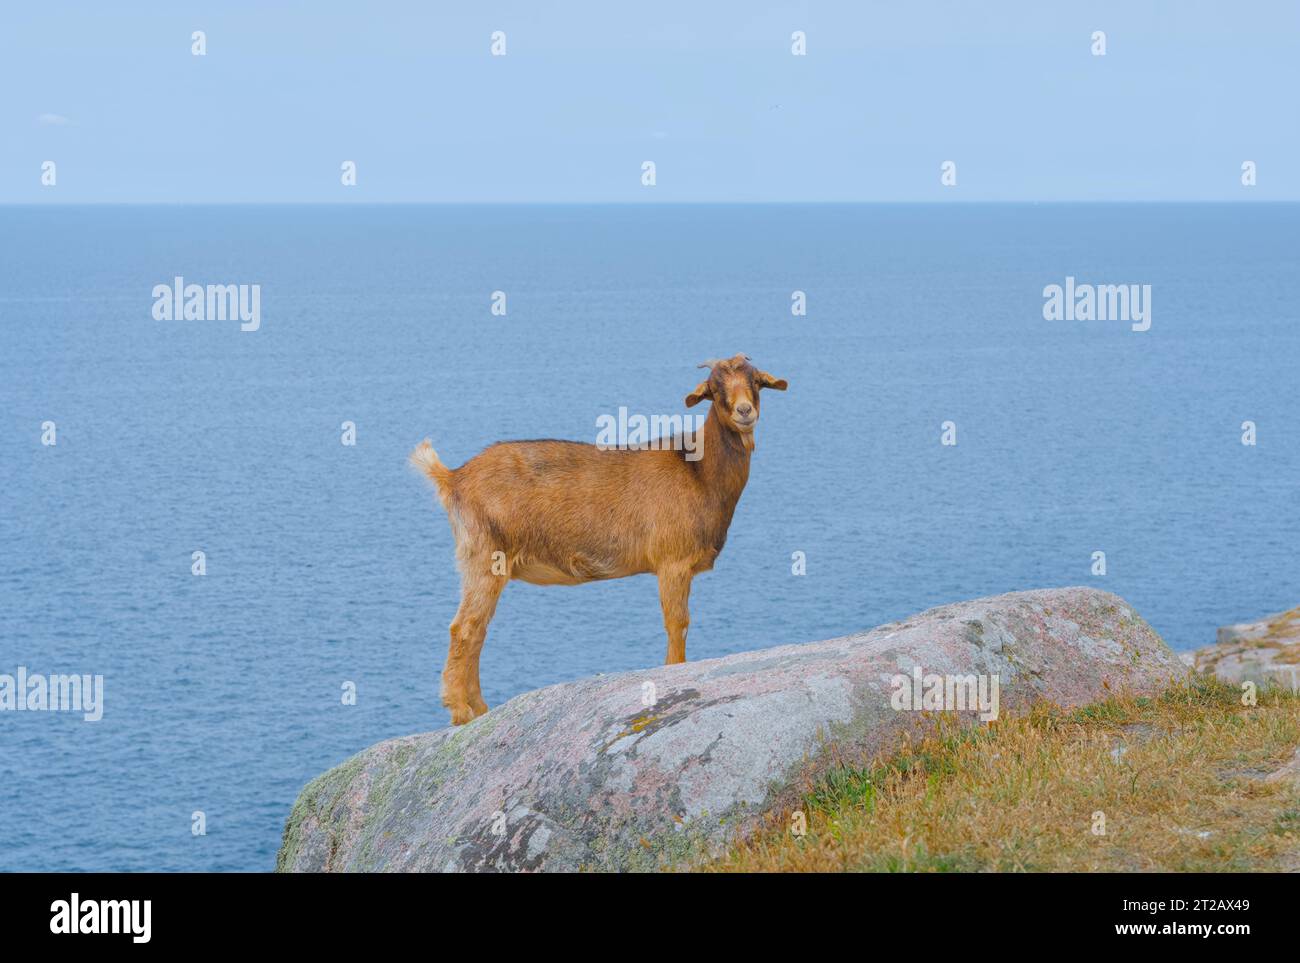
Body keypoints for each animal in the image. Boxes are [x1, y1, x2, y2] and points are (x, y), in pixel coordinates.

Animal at [410, 354, 788, 724]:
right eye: (714, 387)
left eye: (755, 381)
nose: (744, 411)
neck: (699, 471)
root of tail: (454, 478)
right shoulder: (673, 562)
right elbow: (677, 622)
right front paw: (675, 671)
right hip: (485, 555)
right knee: (465, 628)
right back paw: (463, 711)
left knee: (478, 629)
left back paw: (479, 708)